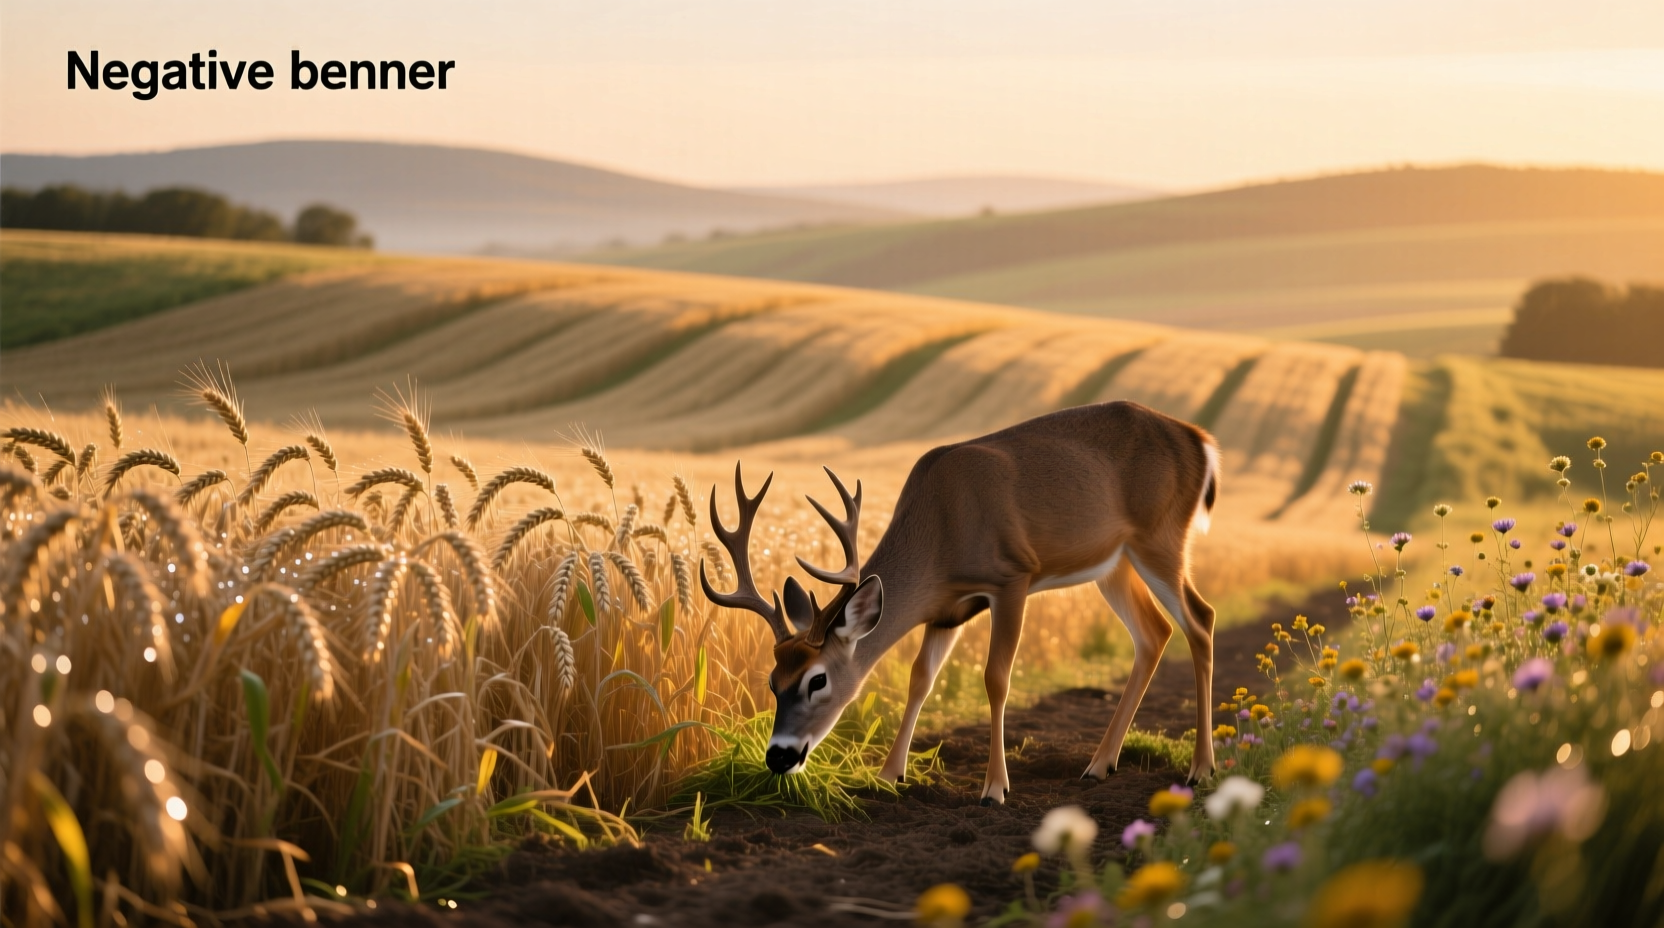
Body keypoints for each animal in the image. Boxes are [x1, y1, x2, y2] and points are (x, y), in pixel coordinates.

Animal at [700, 400, 1221, 805]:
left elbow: (996, 677)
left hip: (1160, 536)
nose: (778, 756)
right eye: (772, 681)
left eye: (817, 680)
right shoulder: (946, 613)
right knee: (1155, 632)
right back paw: (1099, 765)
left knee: (1200, 618)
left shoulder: (1012, 577)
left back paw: (1201, 768)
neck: (939, 536)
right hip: (1115, 562)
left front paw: (994, 788)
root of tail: (1201, 441)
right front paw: (887, 776)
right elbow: (919, 680)